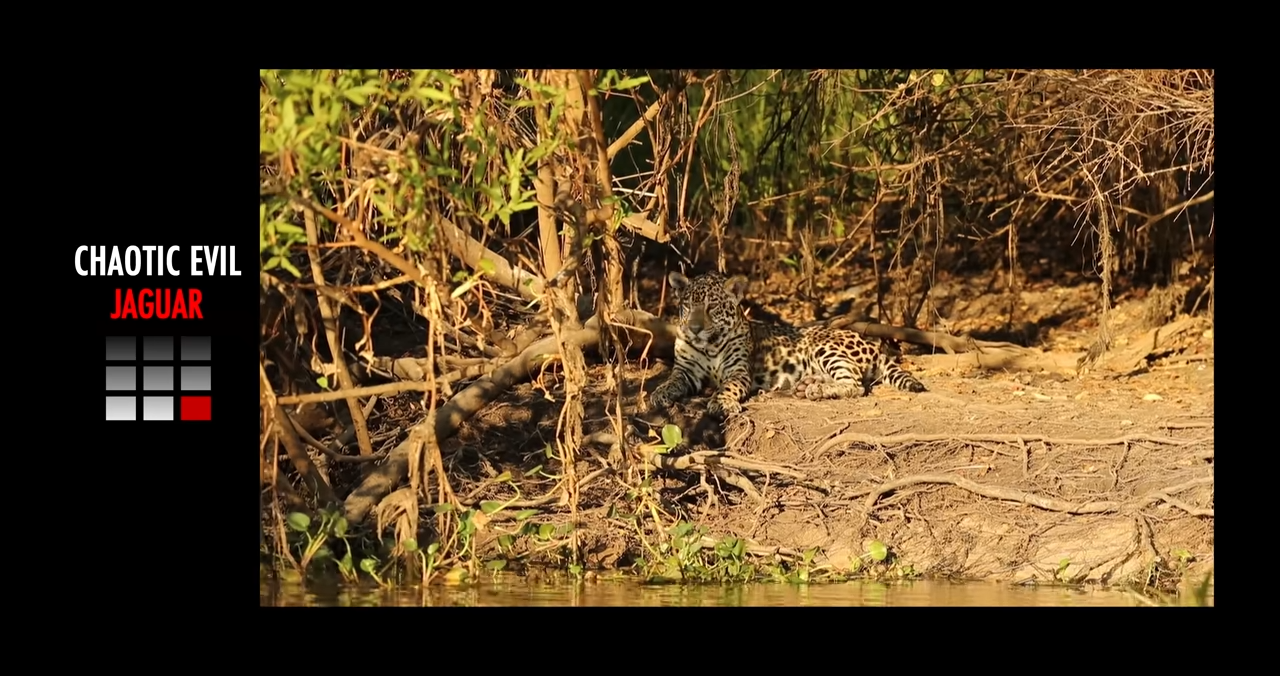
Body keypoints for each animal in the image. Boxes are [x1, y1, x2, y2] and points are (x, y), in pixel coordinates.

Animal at [646, 270, 927, 419]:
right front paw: (658, 393)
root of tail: (872, 344)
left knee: (855, 384)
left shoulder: (738, 371)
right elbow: (672, 381)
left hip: (824, 347)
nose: (694, 328)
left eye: (711, 307)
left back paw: (817, 390)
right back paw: (807, 385)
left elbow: (728, 386)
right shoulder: (686, 370)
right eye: (687, 306)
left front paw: (721, 402)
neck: (709, 345)